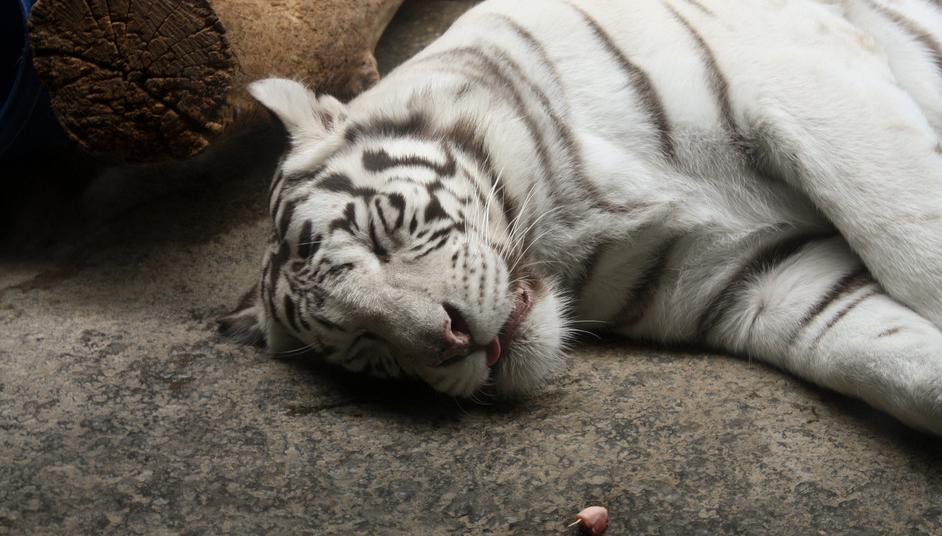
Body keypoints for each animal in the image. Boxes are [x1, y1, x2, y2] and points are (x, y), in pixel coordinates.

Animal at [220, 0, 942, 436]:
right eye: (362, 345)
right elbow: (880, 354)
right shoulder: (752, 281)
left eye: (377, 237)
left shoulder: (800, 71)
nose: (450, 340)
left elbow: (913, 239)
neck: (569, 215)